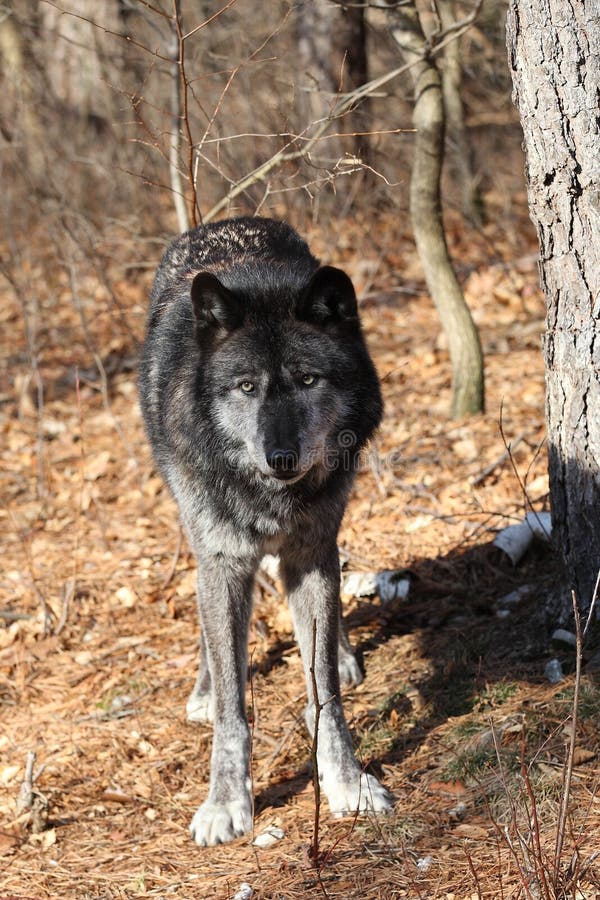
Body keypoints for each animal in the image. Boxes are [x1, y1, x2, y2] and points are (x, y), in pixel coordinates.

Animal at [138, 217, 393, 846]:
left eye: (307, 379)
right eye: (247, 387)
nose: (281, 458)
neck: (270, 496)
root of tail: (225, 223)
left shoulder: (308, 554)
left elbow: (323, 693)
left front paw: (346, 782)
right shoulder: (225, 564)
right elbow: (234, 710)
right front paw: (226, 803)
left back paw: (344, 654)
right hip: (203, 546)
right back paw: (203, 690)